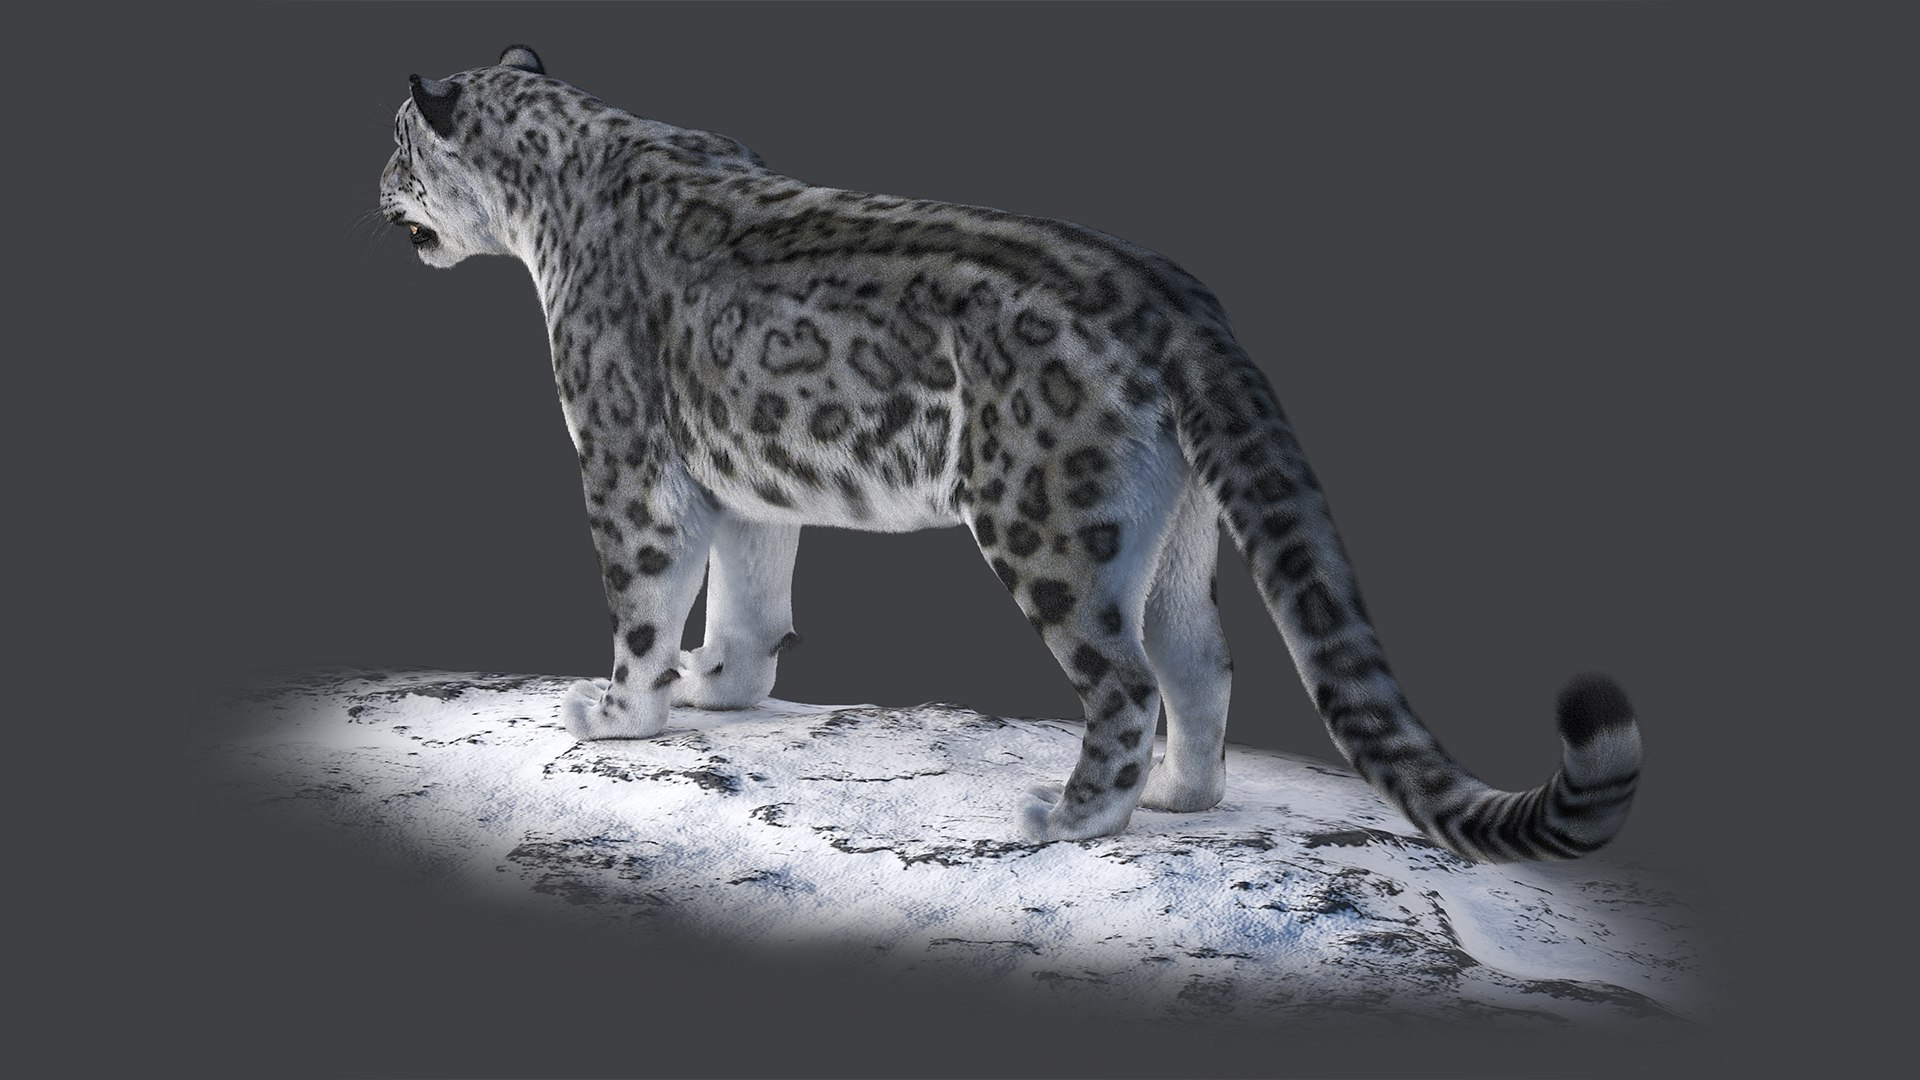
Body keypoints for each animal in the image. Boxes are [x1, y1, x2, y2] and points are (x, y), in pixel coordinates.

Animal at [378, 45, 1642, 861]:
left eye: (395, 150)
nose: (374, 196)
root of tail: (1181, 303)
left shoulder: (626, 462)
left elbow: (644, 597)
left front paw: (620, 713)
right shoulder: (745, 480)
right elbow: (749, 592)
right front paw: (722, 685)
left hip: (1046, 524)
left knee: (1126, 679)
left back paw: (1069, 819)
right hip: (1175, 536)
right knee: (1201, 659)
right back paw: (1181, 799)